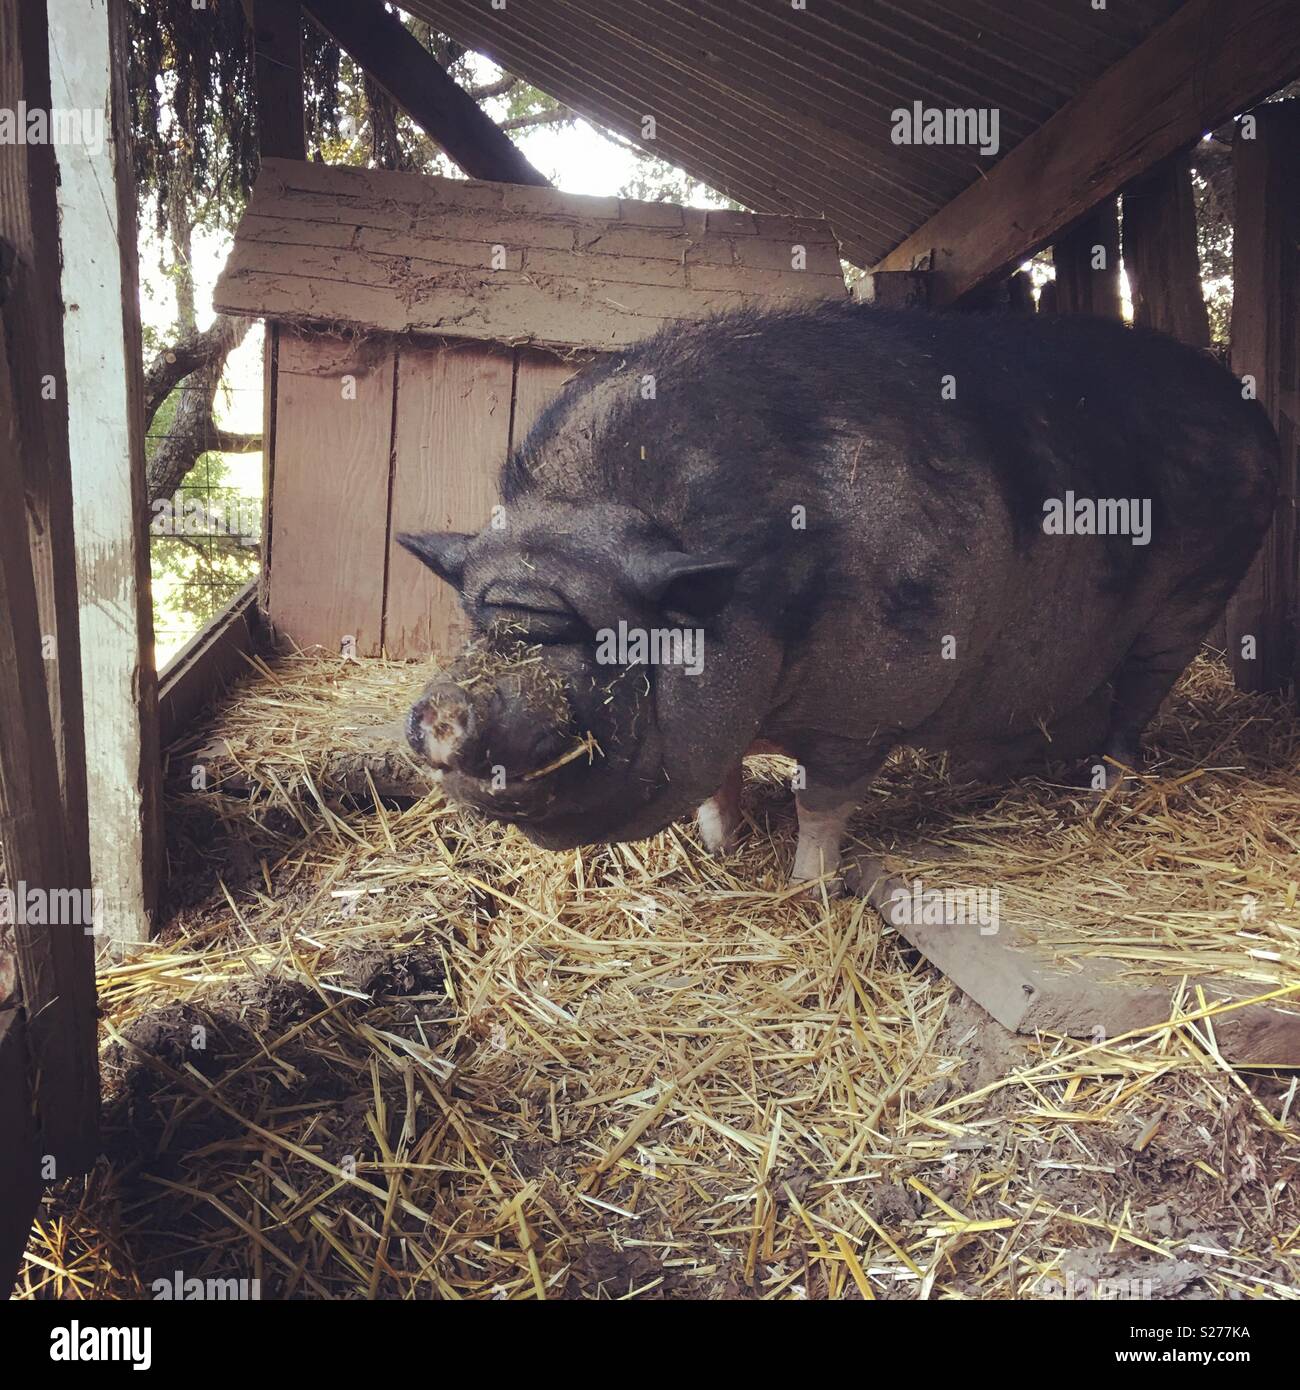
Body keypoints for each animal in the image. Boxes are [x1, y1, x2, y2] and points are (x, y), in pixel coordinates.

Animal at [398, 301, 1277, 890]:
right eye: (478, 620)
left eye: (595, 634)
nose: (442, 709)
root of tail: (1254, 416)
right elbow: (719, 782)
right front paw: (720, 849)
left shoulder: (867, 702)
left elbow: (823, 800)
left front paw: (808, 887)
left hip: (1198, 588)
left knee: (1138, 698)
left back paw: (1106, 791)